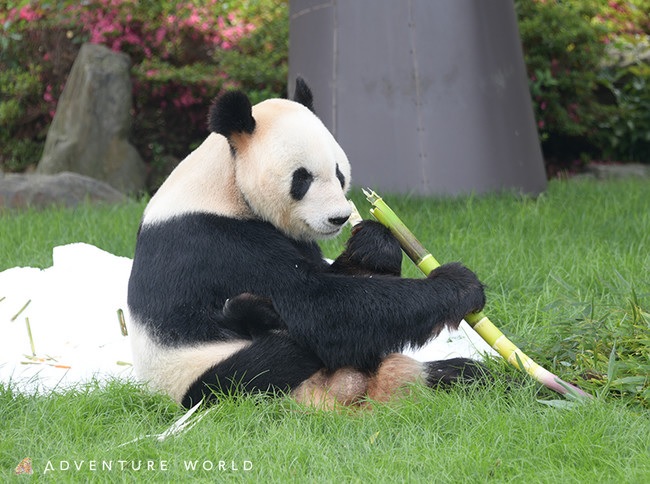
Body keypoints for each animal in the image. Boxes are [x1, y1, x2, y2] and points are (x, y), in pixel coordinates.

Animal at [127, 78, 487, 409]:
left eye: (339, 173)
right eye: (302, 178)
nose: (339, 218)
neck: (226, 184)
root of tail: (333, 395)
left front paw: (374, 242)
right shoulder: (216, 242)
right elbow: (317, 304)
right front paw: (459, 285)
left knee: (457, 375)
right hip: (206, 377)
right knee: (273, 357)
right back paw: (256, 314)